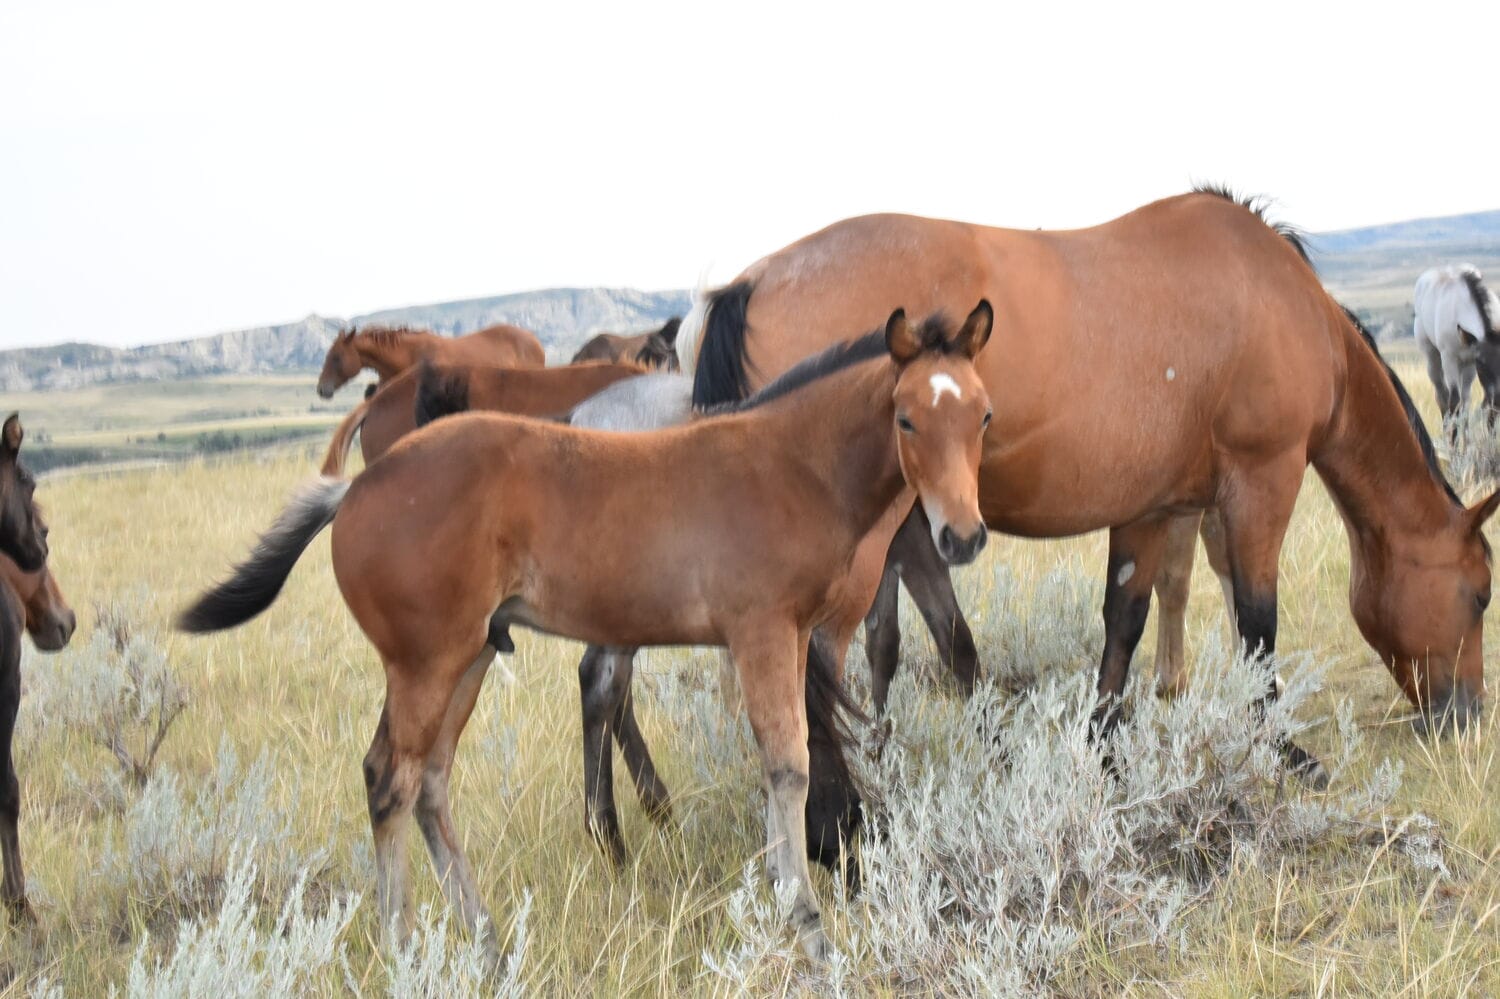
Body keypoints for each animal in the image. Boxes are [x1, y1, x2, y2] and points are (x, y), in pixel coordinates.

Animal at [1413, 264, 1500, 423]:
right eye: (1482, 362)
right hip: (1432, 358)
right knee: (1442, 396)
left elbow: (1466, 402)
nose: (1498, 399)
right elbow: (1453, 401)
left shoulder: (1470, 361)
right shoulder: (1449, 358)